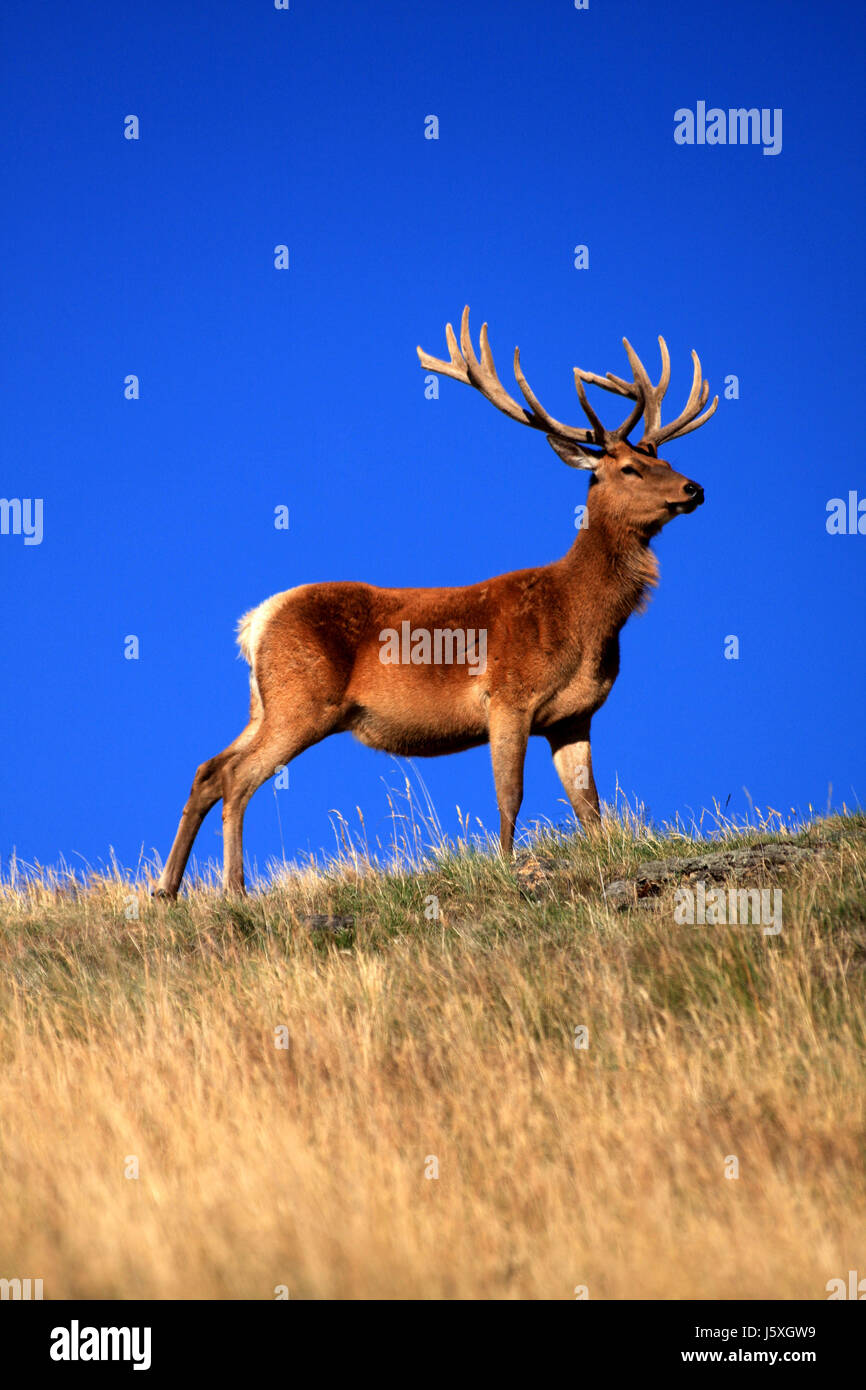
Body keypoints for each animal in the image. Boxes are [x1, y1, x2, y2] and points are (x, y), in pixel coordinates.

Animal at [154, 307, 717, 898]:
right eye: (628, 468)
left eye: (666, 457)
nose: (694, 488)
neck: (581, 618)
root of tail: (255, 623)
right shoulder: (508, 696)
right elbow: (510, 796)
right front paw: (505, 866)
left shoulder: (574, 715)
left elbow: (591, 808)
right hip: (300, 700)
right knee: (236, 777)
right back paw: (233, 889)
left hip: (263, 702)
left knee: (208, 768)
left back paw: (167, 890)